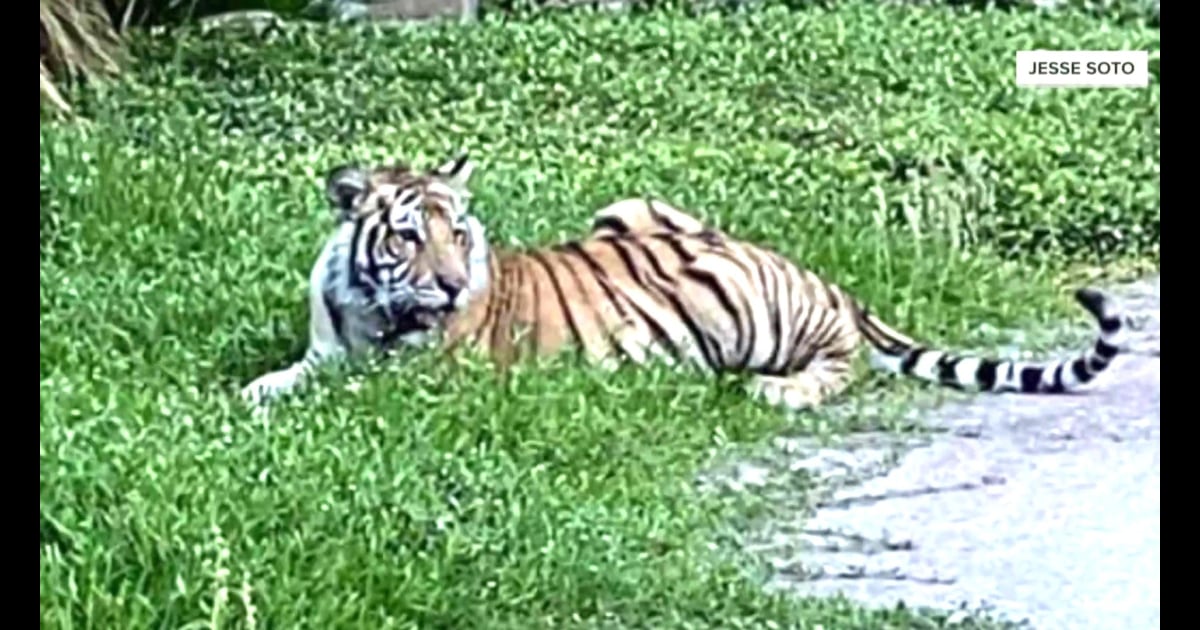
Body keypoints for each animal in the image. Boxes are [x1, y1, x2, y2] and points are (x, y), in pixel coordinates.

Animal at [240, 152, 1125, 411]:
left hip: (752, 308)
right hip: (630, 208)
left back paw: (776, 391)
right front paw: (246, 394)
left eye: (458, 234)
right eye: (408, 237)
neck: (367, 306)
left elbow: (347, 393)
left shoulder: (427, 376)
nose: (453, 286)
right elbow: (280, 379)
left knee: (843, 366)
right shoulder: (325, 351)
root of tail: (827, 280)